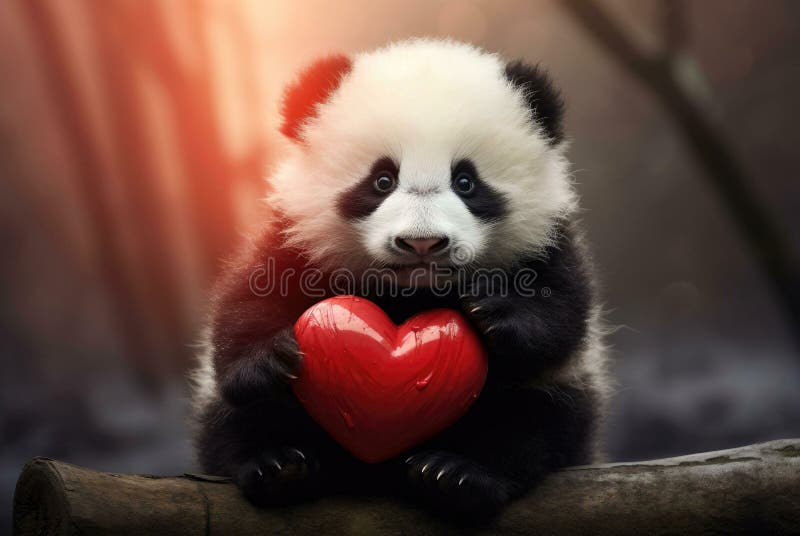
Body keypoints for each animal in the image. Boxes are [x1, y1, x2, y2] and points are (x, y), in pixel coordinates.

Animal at [192, 38, 609, 517]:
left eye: (466, 181)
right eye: (382, 180)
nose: (422, 243)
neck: (412, 291)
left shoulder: (546, 240)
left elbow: (561, 309)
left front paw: (497, 312)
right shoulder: (296, 237)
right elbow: (248, 302)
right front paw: (272, 357)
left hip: (556, 391)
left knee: (530, 424)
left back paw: (456, 475)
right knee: (237, 423)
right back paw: (279, 466)